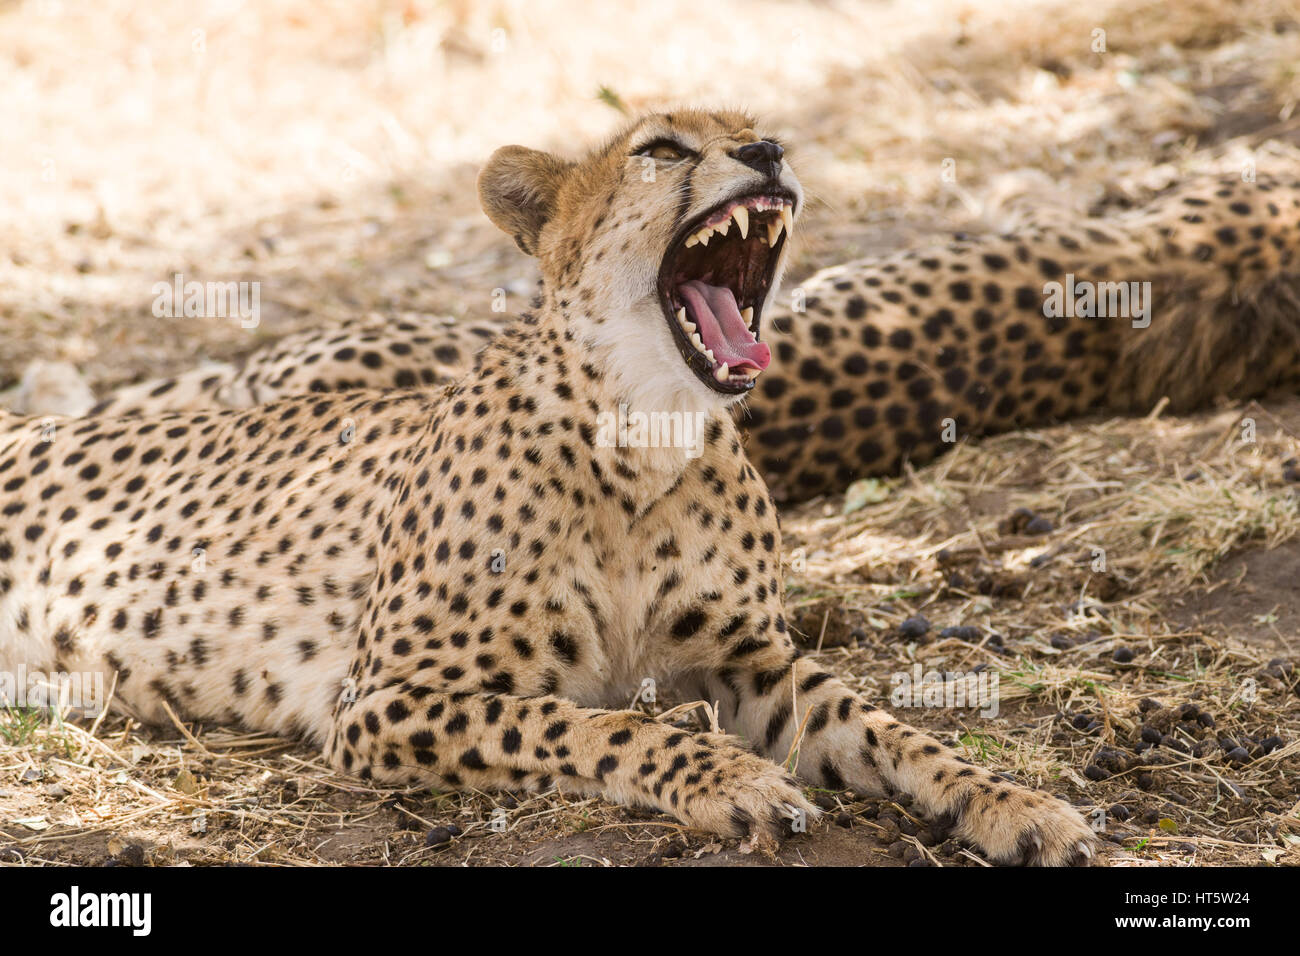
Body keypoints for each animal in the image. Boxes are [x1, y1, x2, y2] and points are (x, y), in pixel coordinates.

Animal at [0, 109, 1100, 864]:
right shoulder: (383, 698)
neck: (642, 432)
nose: (770, 152)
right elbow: (585, 722)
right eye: (663, 146)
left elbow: (892, 730)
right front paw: (728, 777)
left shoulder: (753, 663)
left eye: (753, 128)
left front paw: (1014, 802)